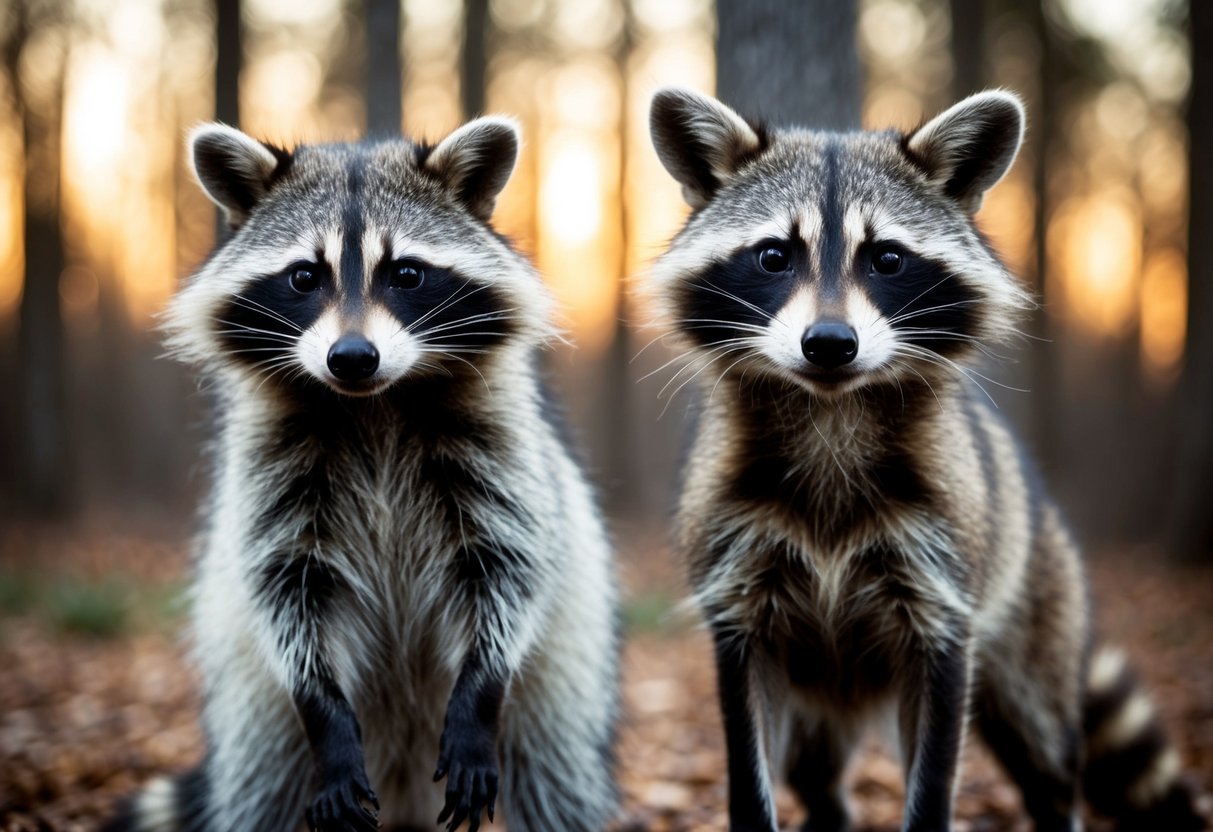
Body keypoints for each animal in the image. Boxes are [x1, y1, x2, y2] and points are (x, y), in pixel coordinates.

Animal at [105, 118, 619, 832]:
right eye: (303, 276)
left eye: (406, 273)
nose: (351, 357)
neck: (373, 403)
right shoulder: (270, 469)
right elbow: (287, 595)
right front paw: (324, 711)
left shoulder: (505, 451)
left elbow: (510, 570)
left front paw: (479, 691)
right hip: (256, 723)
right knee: (258, 796)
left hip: (559, 692)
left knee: (557, 785)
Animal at [646, 88, 1203, 832]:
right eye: (772, 256)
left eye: (886, 258)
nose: (829, 343)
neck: (832, 413)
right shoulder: (736, 584)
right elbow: (748, 756)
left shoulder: (942, 596)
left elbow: (935, 763)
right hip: (813, 691)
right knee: (811, 774)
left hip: (1034, 623)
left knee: (1046, 756)